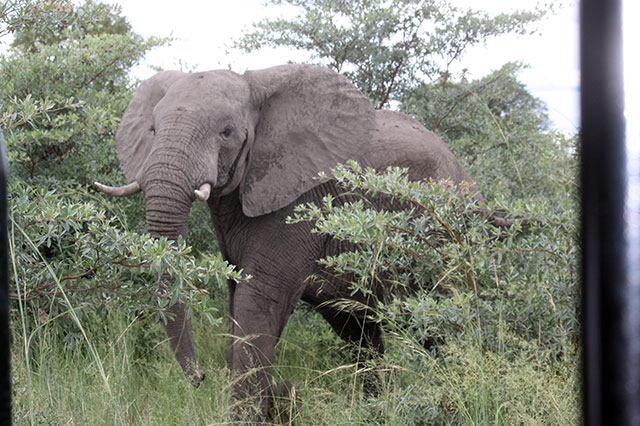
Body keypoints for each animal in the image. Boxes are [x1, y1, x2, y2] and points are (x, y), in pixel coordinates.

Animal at [95, 64, 508, 421]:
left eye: (226, 132)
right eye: (152, 129)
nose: (200, 378)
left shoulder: (301, 201)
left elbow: (258, 301)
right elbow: (235, 303)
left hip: (449, 236)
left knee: (443, 324)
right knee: (360, 333)